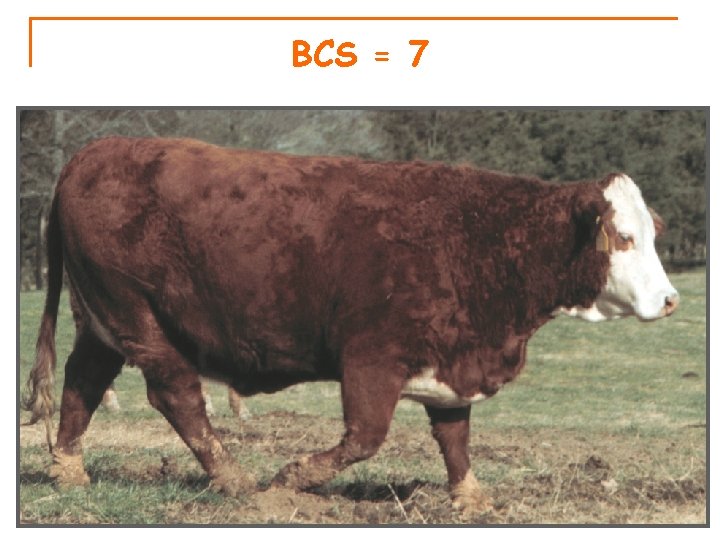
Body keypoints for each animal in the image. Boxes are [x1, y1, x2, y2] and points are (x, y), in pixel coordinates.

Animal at [23, 137, 678, 513]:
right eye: (624, 237)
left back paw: (70, 472)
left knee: (83, 384)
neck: (479, 238)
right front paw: (291, 478)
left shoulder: (451, 361)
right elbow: (365, 438)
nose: (671, 300)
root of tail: (92, 154)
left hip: (103, 321)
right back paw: (238, 482)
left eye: (650, 233)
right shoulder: (371, 359)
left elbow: (455, 438)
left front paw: (471, 499)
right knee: (178, 397)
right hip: (139, 318)